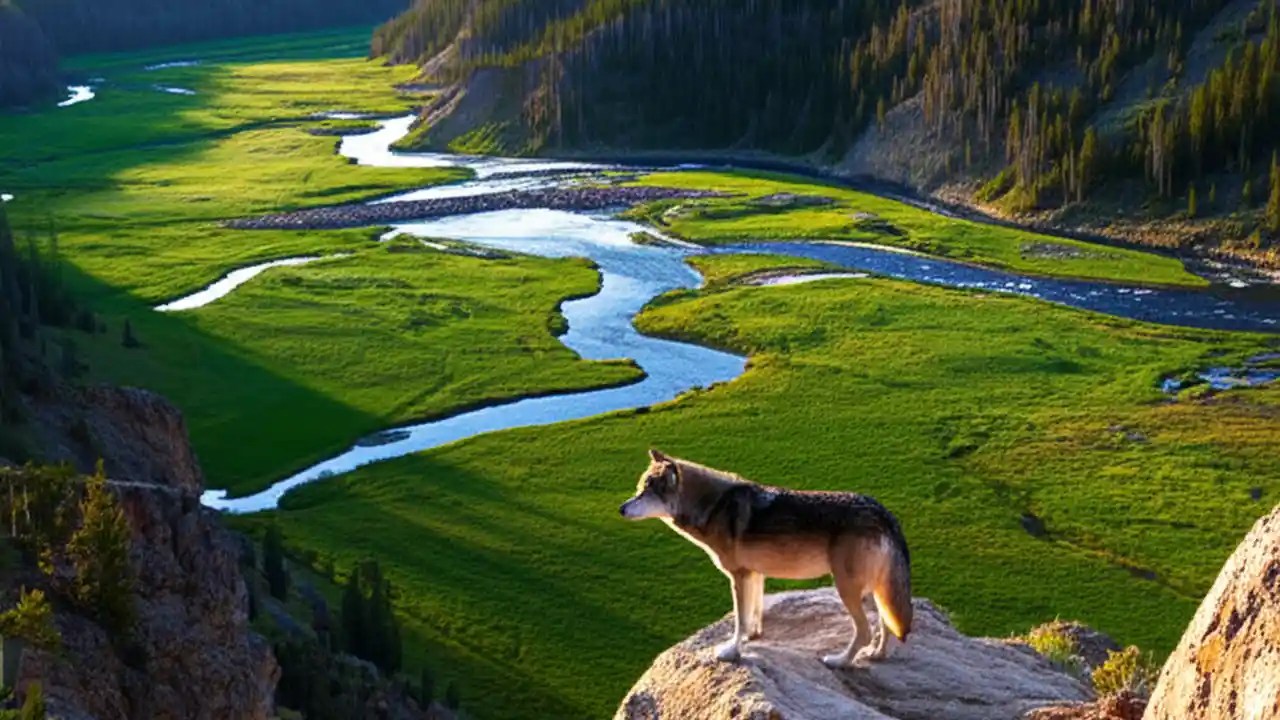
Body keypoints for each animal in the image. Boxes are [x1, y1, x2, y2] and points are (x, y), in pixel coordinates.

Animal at [619, 449, 912, 668]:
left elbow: (739, 620)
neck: (714, 508)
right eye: (639, 488)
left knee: (864, 631)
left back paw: (839, 661)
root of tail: (884, 513)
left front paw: (731, 652)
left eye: (645, 492)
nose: (621, 509)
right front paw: (753, 636)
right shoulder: (755, 574)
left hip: (846, 588)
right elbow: (753, 613)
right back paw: (877, 654)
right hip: (875, 589)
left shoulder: (739, 576)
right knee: (886, 623)